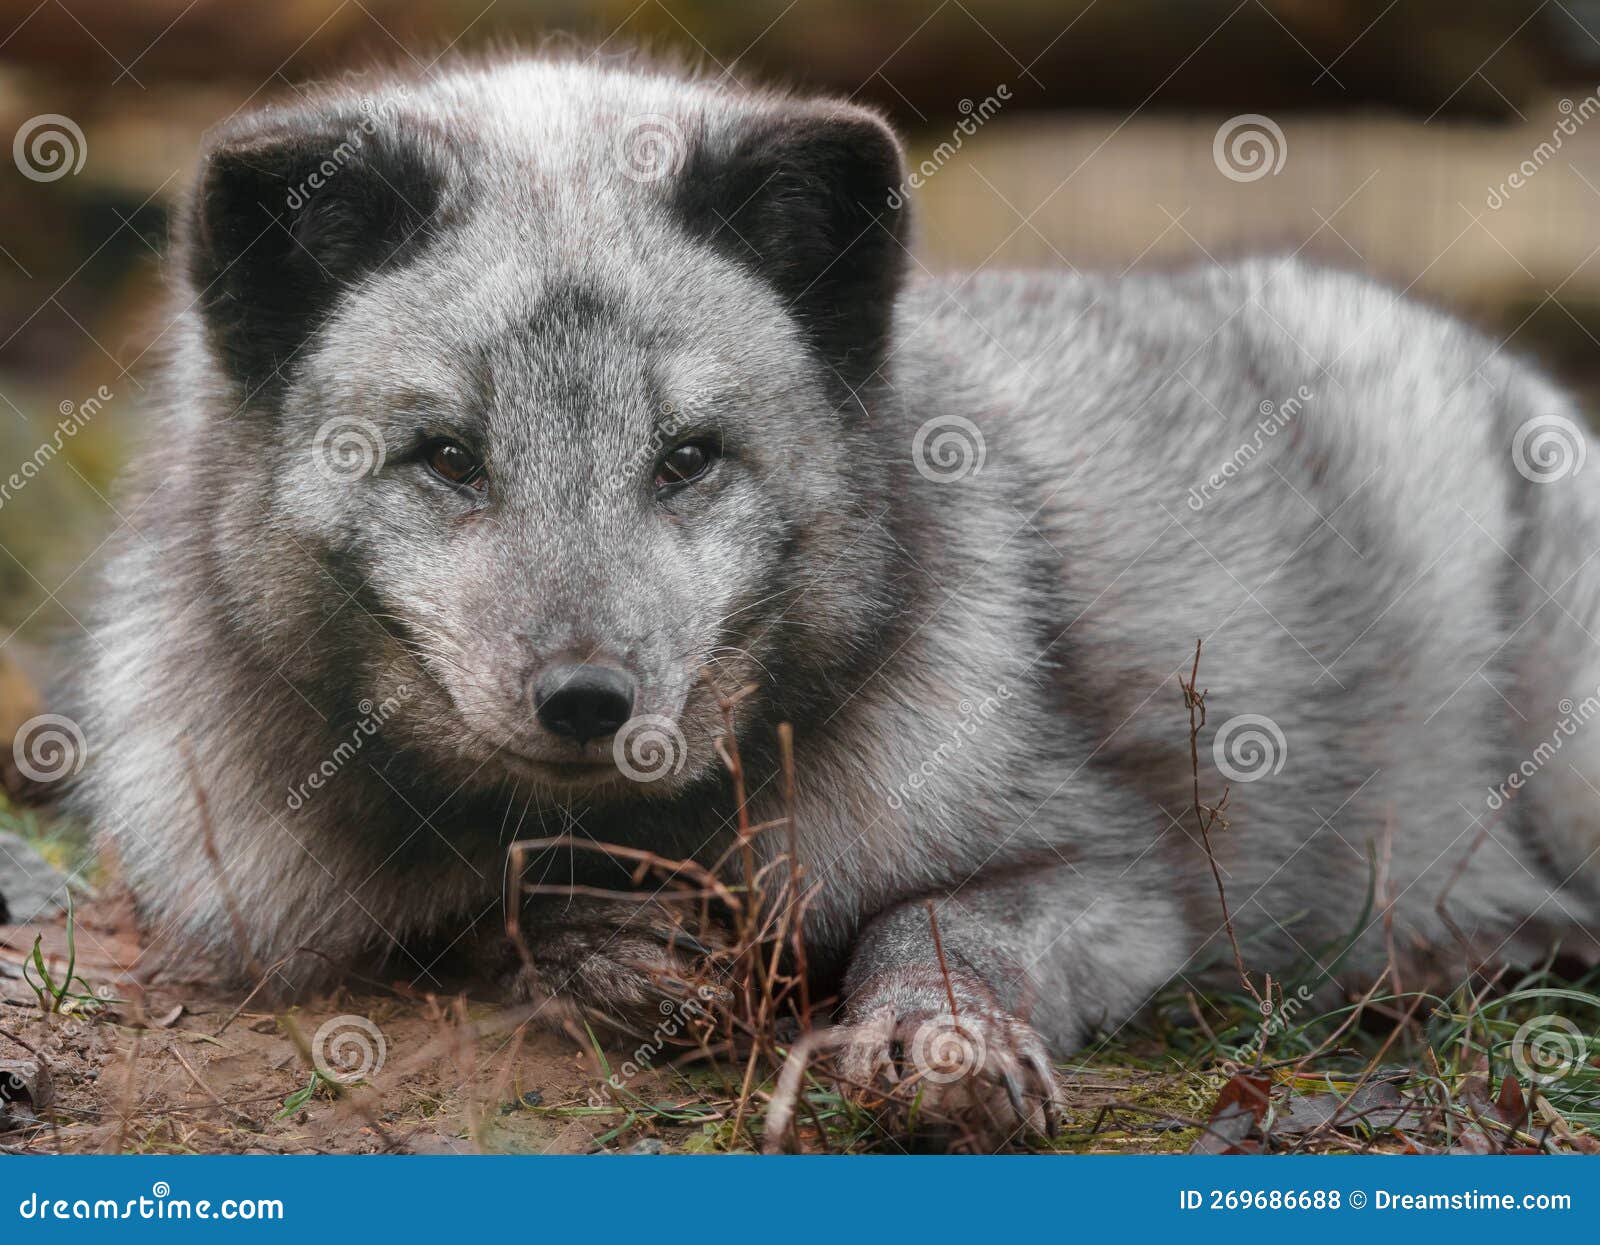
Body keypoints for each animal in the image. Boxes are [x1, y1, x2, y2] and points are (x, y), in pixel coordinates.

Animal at [61, 49, 1600, 1146]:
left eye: (689, 457)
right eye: (445, 455)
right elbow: (459, 922)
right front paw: (601, 948)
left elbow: (944, 922)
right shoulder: (265, 910)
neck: (645, 829)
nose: (588, 700)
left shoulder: (1117, 877)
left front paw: (936, 1038)